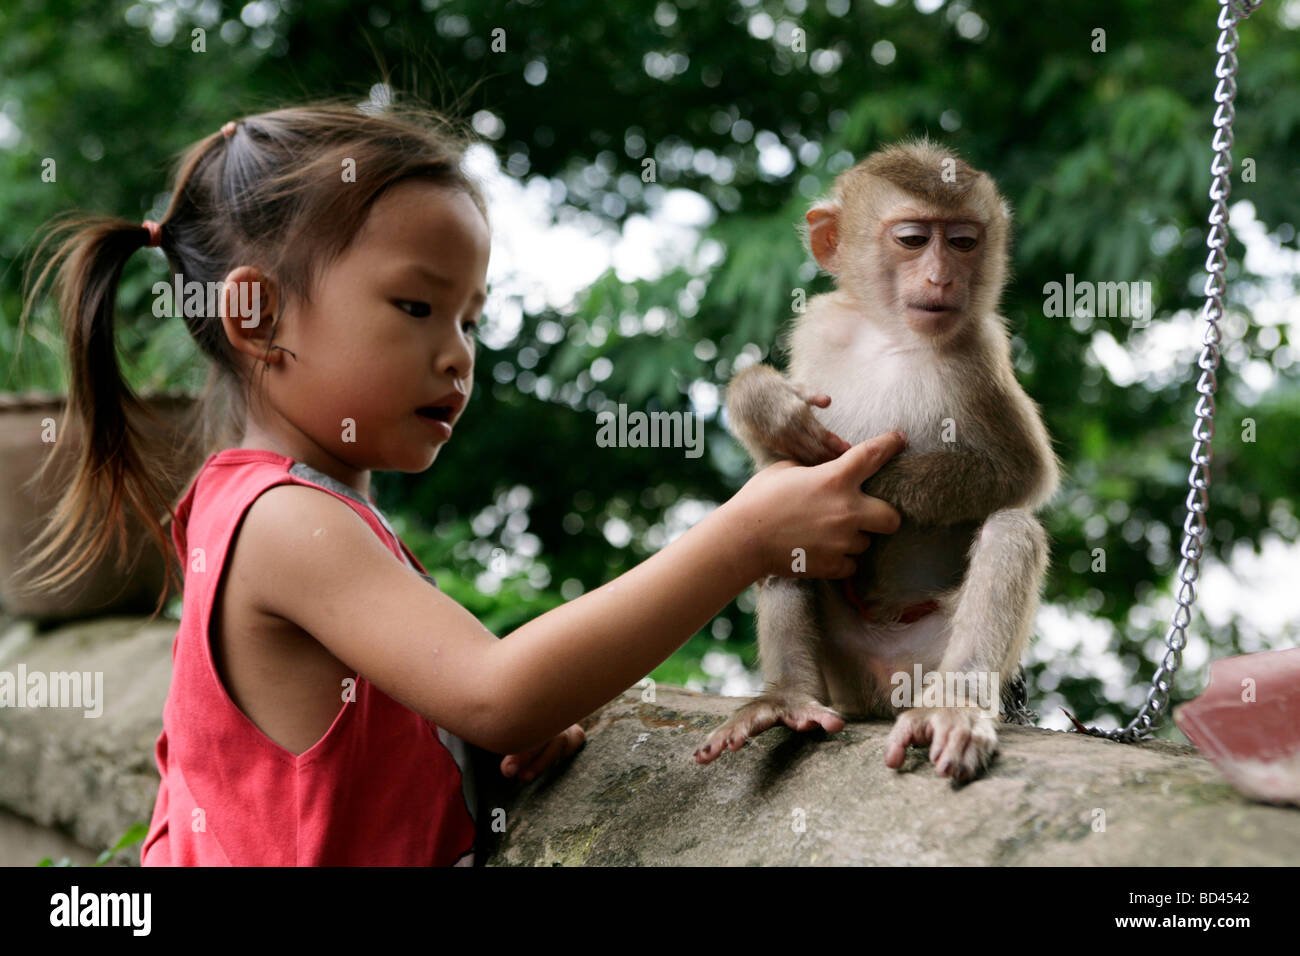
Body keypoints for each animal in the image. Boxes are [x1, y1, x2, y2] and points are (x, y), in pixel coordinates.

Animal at [694, 138, 1060, 783]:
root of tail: (885, 689)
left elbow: (1021, 473)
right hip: (842, 668)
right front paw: (768, 405)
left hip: (933, 654)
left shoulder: (979, 351)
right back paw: (786, 697)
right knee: (772, 531)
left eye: (962, 241)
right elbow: (776, 460)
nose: (942, 277)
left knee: (1013, 531)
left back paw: (953, 705)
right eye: (913, 239)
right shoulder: (822, 323)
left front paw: (870, 486)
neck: (889, 334)